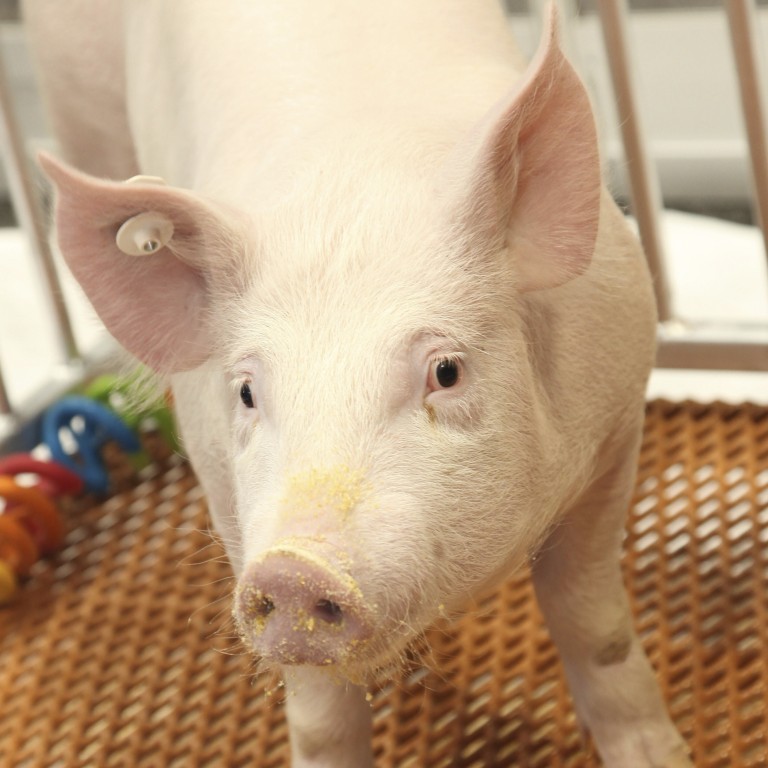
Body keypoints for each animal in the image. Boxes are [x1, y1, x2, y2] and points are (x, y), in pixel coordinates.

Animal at [22, 0, 691, 765]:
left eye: (446, 371)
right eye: (246, 391)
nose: (292, 570)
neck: (350, 179)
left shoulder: (617, 426)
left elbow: (591, 622)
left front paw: (662, 754)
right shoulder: (231, 504)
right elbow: (320, 711)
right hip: (78, 98)